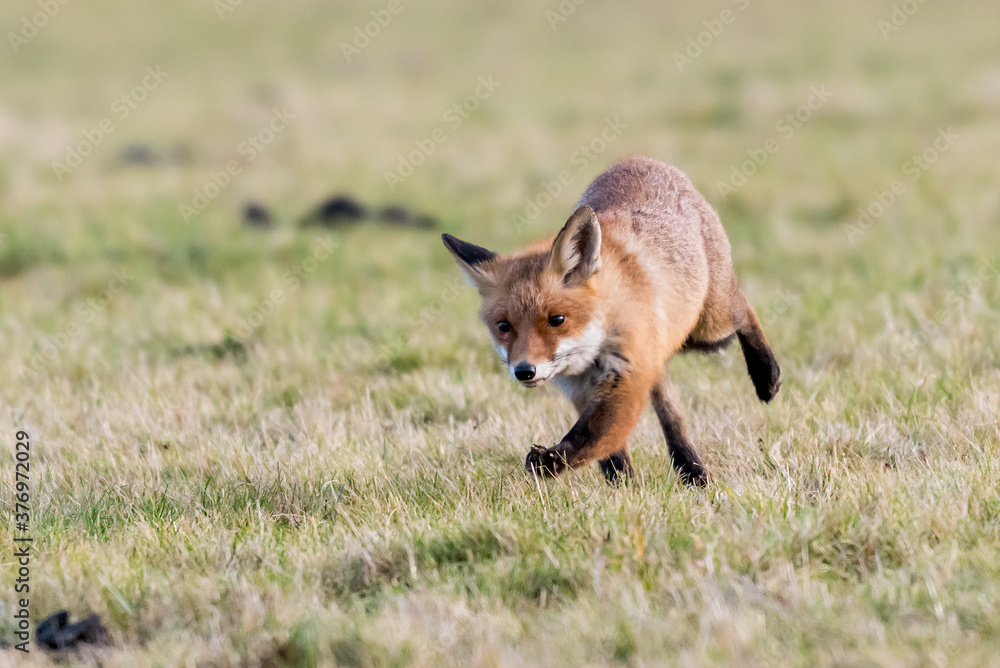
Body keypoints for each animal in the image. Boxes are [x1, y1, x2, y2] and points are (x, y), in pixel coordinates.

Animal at [442, 156, 780, 485]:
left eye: (557, 319)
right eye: (503, 326)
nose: (524, 371)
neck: (593, 348)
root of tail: (639, 160)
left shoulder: (625, 378)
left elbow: (590, 436)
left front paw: (549, 463)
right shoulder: (583, 390)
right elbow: (608, 448)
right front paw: (622, 485)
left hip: (708, 330)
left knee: (744, 309)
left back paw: (766, 377)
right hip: (665, 354)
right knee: (673, 415)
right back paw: (692, 470)